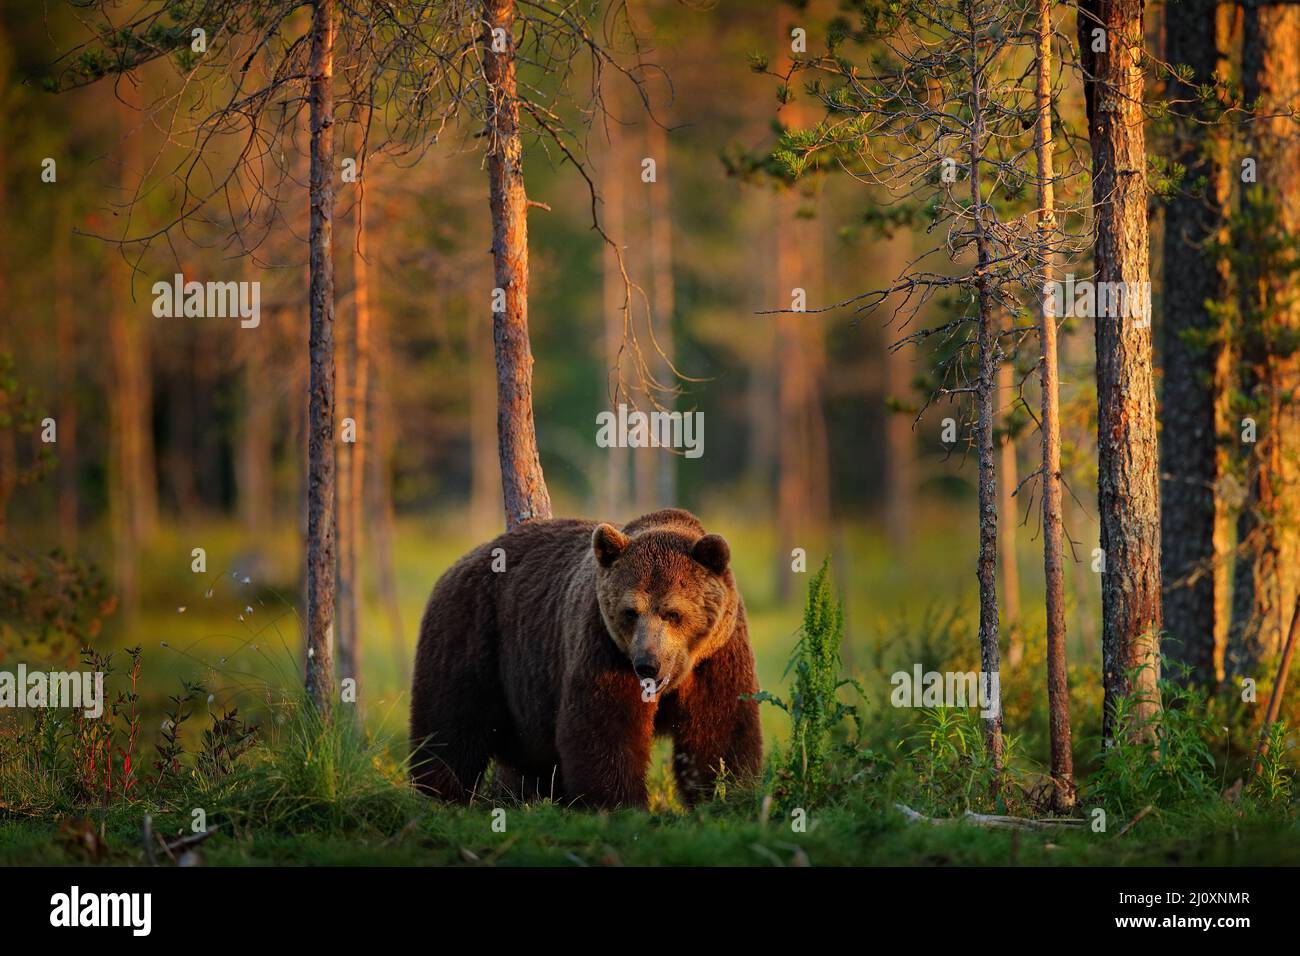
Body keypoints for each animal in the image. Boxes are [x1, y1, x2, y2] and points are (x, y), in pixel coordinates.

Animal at [409, 508, 762, 808]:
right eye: (630, 612)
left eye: (673, 613)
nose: (647, 664)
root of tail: (458, 563)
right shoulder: (604, 644)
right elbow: (605, 726)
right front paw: (620, 804)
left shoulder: (717, 654)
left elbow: (720, 729)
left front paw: (726, 794)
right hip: (474, 629)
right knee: (452, 722)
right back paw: (440, 792)